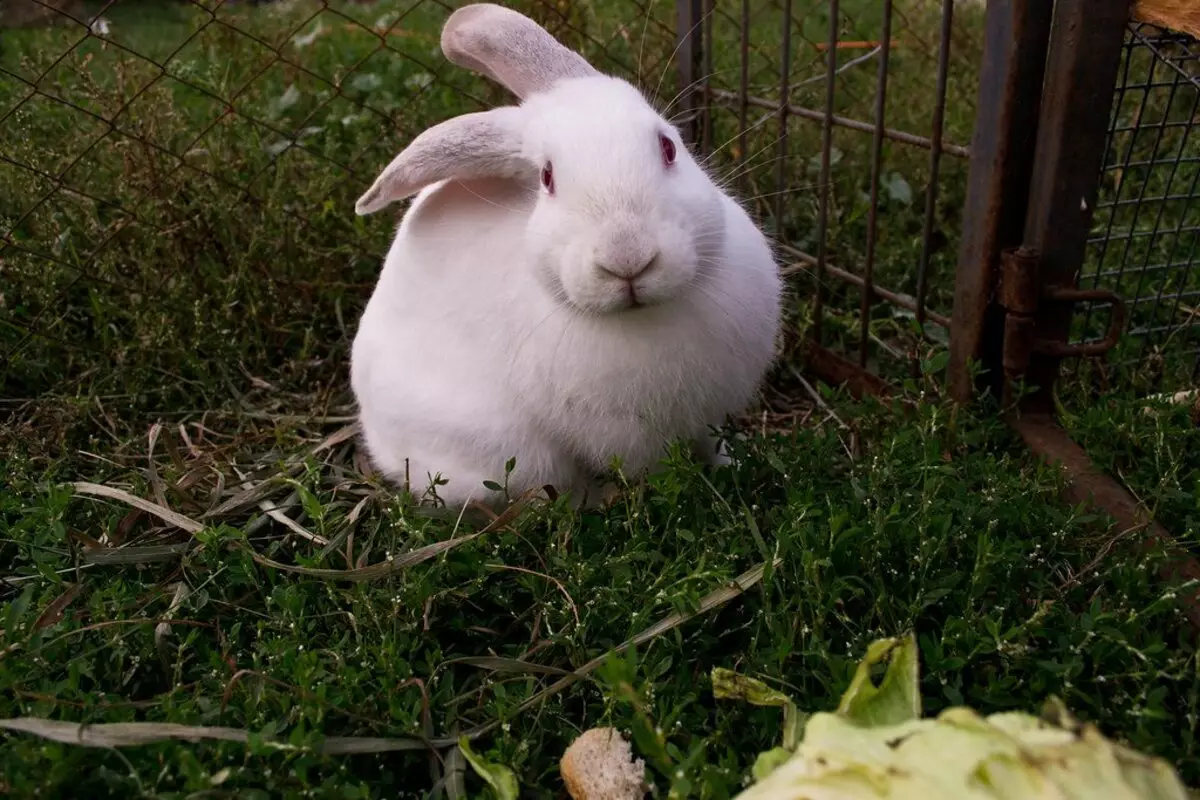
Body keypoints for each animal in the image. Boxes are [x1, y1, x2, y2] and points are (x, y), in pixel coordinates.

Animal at [350, 4, 782, 506]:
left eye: (668, 147)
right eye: (547, 177)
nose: (627, 258)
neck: (643, 316)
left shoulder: (709, 415)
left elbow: (714, 444)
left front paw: (737, 464)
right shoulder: (632, 440)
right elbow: (656, 471)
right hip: (507, 454)